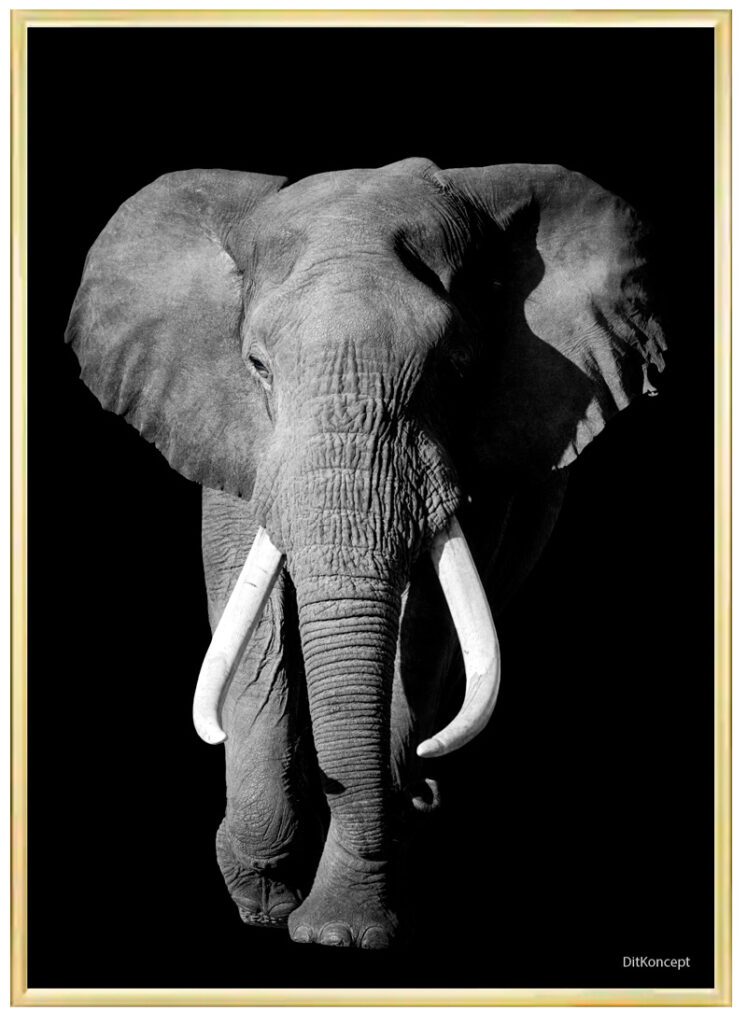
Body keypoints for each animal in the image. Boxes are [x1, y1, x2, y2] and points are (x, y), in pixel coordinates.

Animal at [65, 157, 666, 950]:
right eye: (257, 365)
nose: (342, 784)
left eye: (456, 365)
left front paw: (339, 930)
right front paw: (266, 899)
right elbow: (250, 617)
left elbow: (427, 631)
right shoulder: (227, 424)